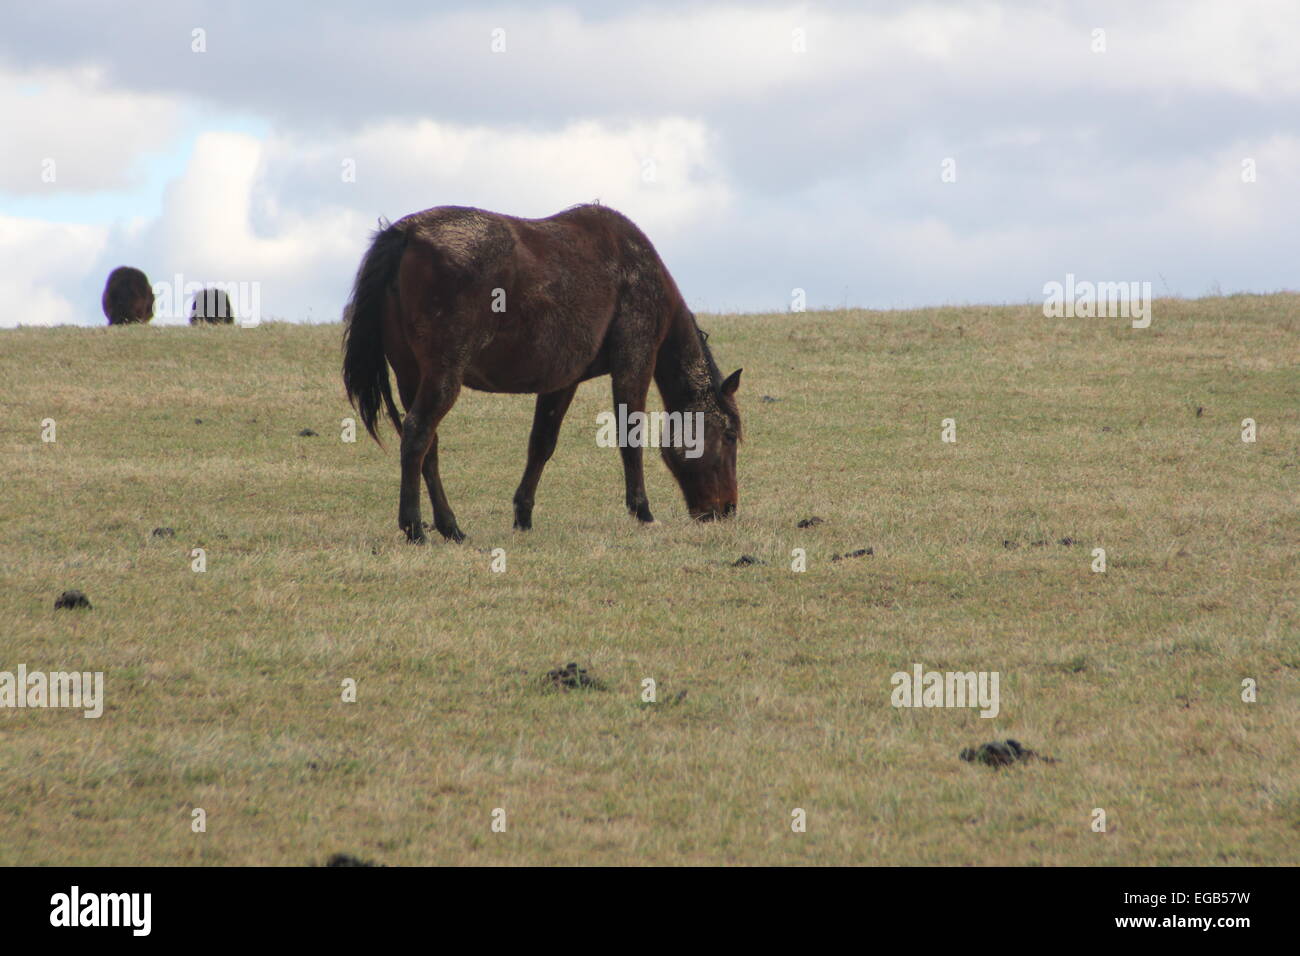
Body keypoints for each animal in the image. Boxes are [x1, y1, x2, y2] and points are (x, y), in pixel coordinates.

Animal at [342, 203, 742, 543]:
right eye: (730, 436)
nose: (726, 510)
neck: (638, 268)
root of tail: (408, 232)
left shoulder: (562, 381)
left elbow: (541, 444)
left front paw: (523, 516)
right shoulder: (635, 360)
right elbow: (630, 436)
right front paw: (643, 512)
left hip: (411, 375)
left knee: (429, 447)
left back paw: (450, 527)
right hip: (442, 376)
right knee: (417, 435)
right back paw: (415, 528)